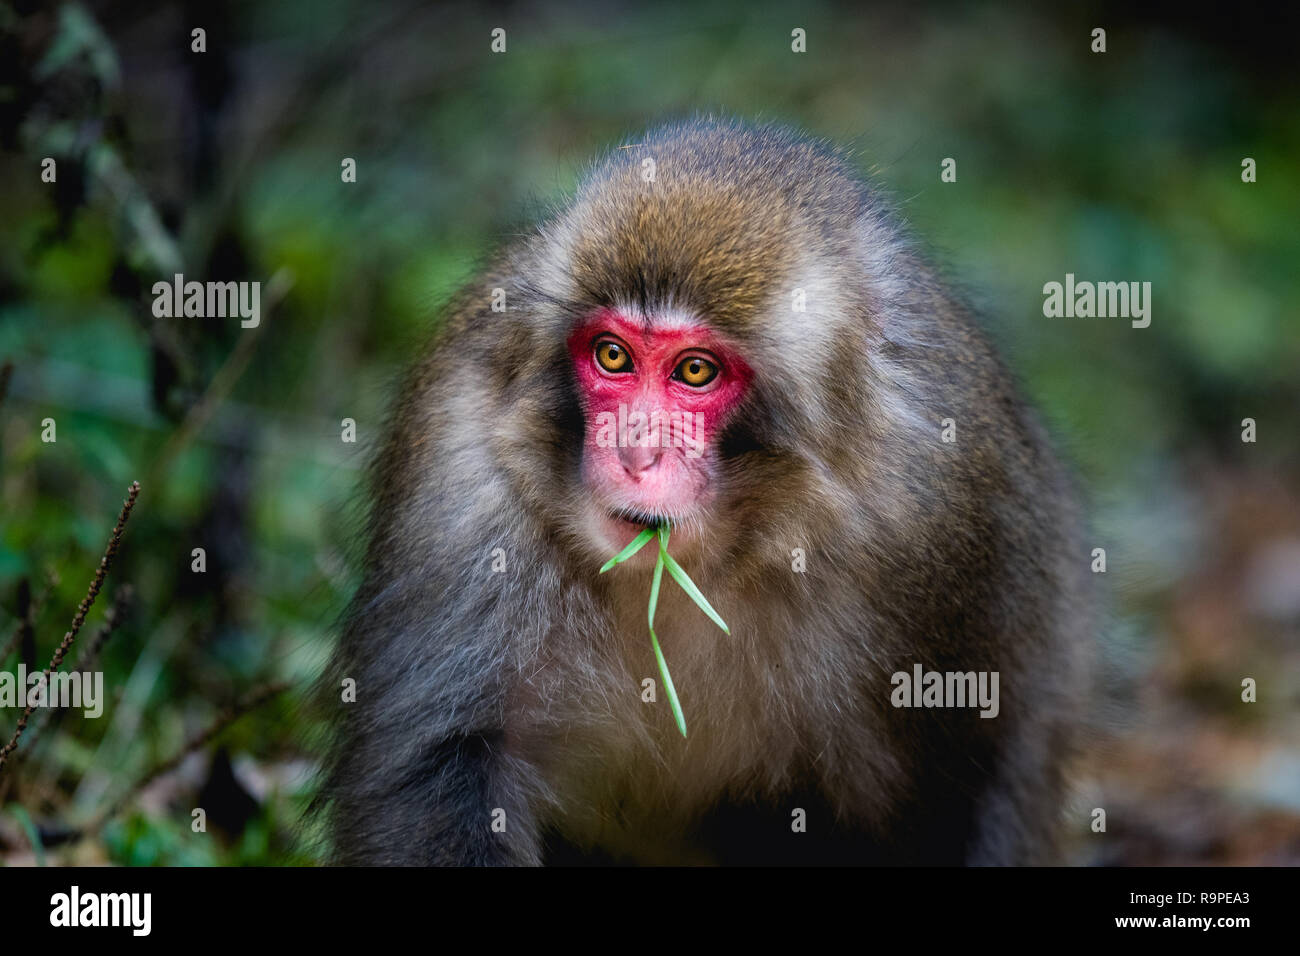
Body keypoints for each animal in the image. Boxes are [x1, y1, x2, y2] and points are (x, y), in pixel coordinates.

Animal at [319, 117, 1093, 866]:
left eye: (695, 371)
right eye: (612, 356)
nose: (636, 450)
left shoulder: (949, 510)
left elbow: (951, 801)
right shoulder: (464, 473)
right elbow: (442, 767)